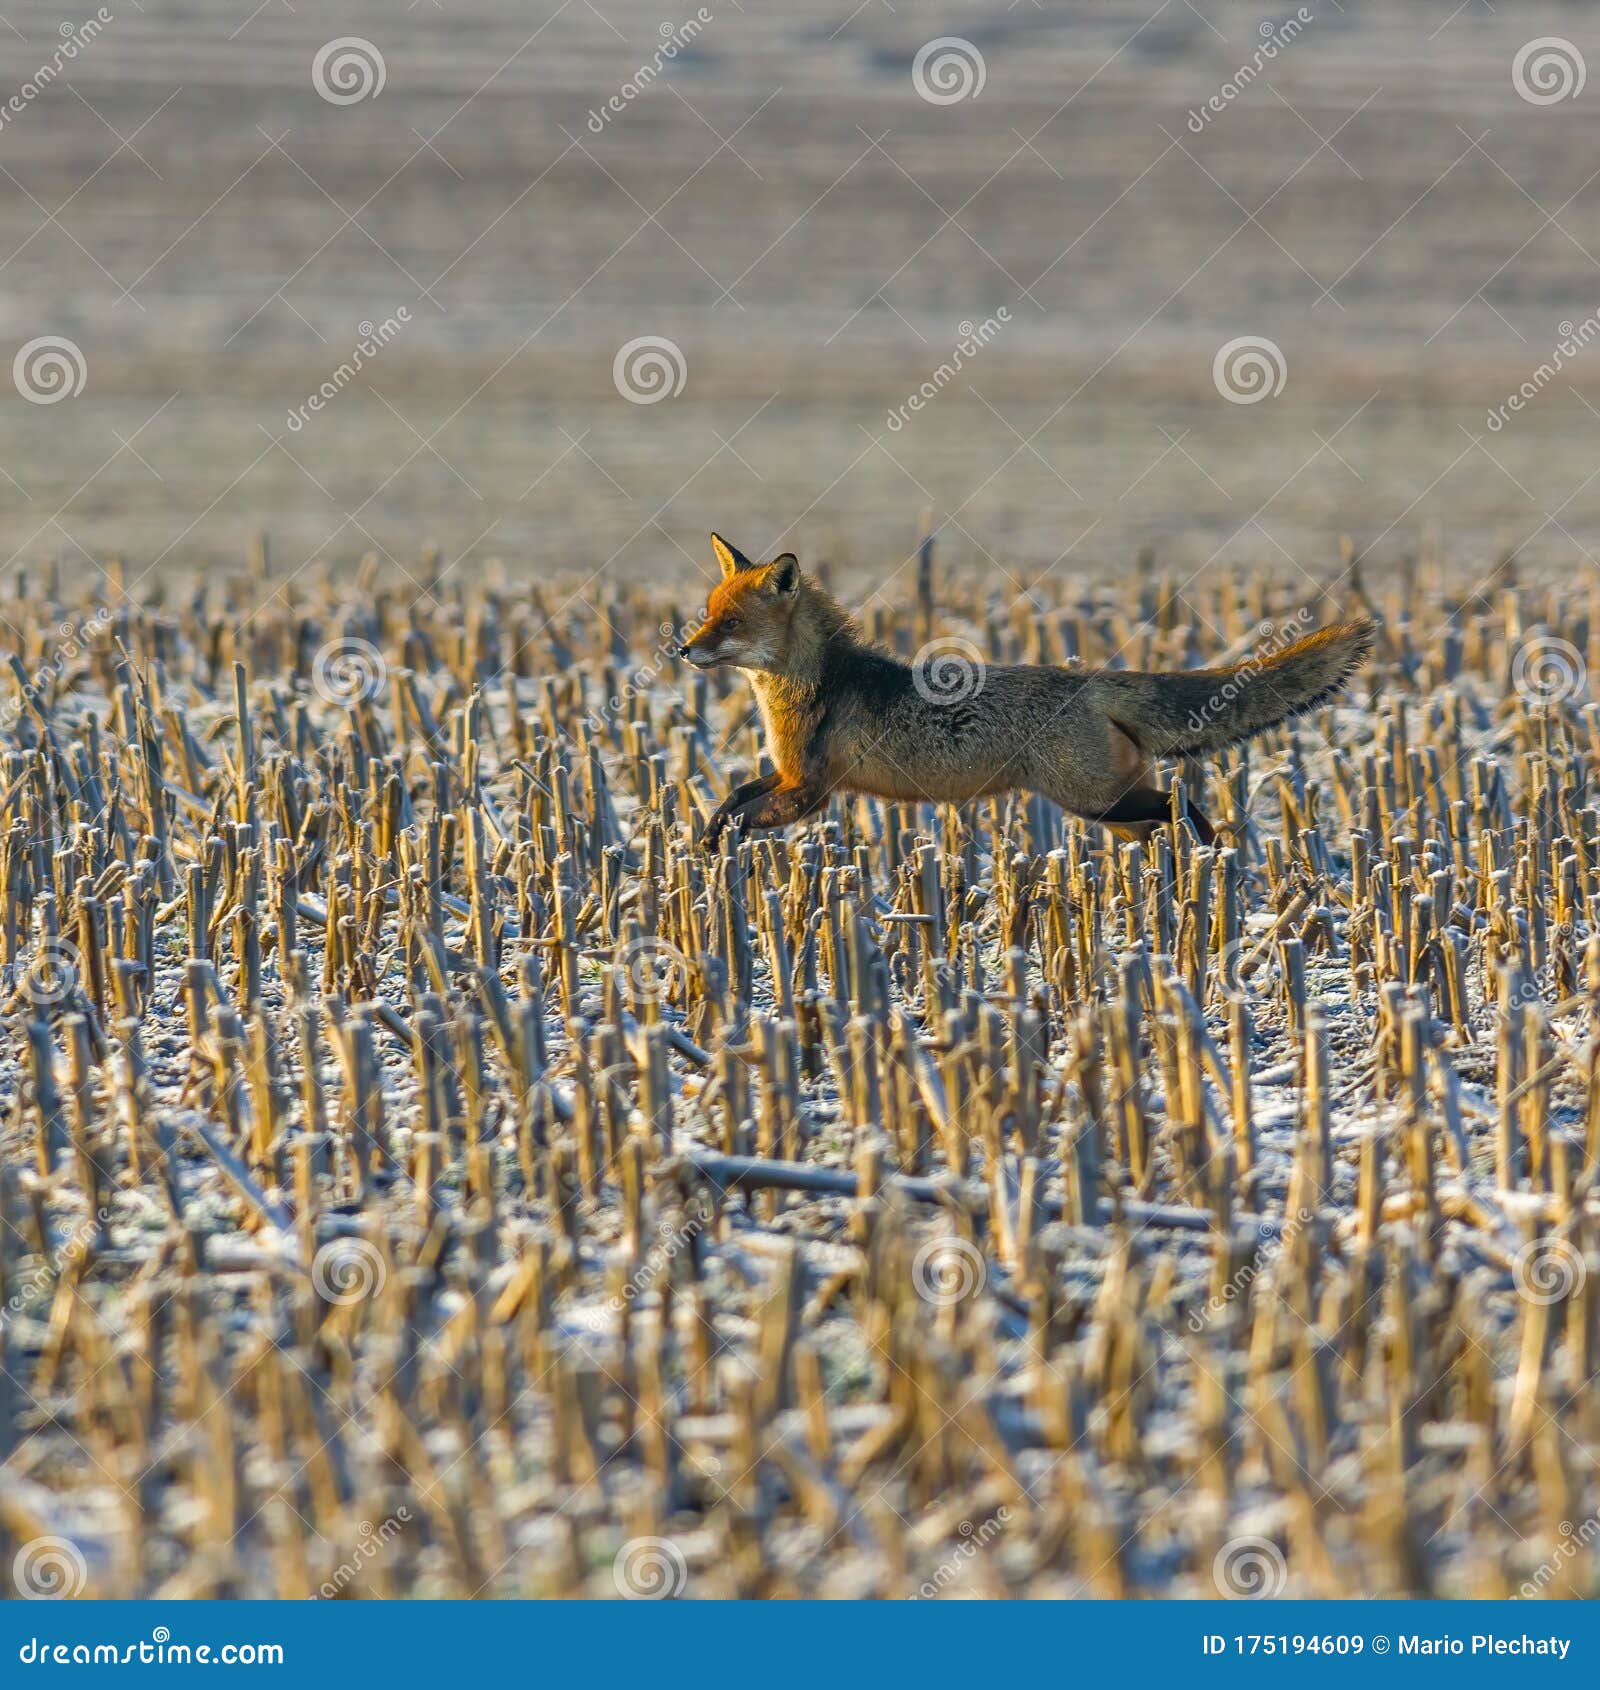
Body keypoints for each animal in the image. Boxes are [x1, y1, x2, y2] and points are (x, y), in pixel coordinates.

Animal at [679, 533, 1374, 852]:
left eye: (730, 624)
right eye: (707, 615)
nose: (681, 650)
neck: (808, 691)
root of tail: (1089, 682)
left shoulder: (811, 792)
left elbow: (744, 814)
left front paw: (716, 846)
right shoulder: (787, 774)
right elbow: (733, 795)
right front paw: (707, 838)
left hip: (1096, 801)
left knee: (1181, 807)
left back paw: (1209, 857)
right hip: (1111, 810)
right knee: (1164, 817)